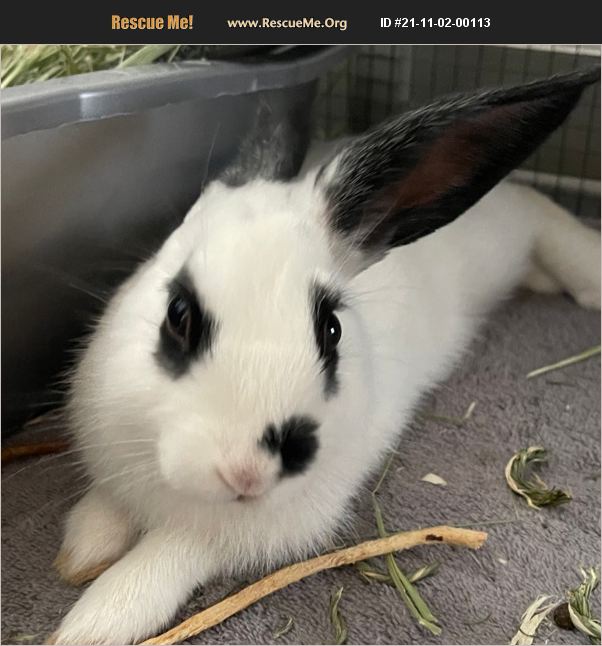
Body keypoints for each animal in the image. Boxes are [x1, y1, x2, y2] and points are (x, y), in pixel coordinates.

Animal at [50, 68, 600, 645]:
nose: (246, 472)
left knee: (547, 217)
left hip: (517, 229)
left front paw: (91, 623)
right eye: (178, 313)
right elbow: (108, 507)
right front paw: (81, 551)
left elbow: (164, 560)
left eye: (330, 330)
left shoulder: (229, 536)